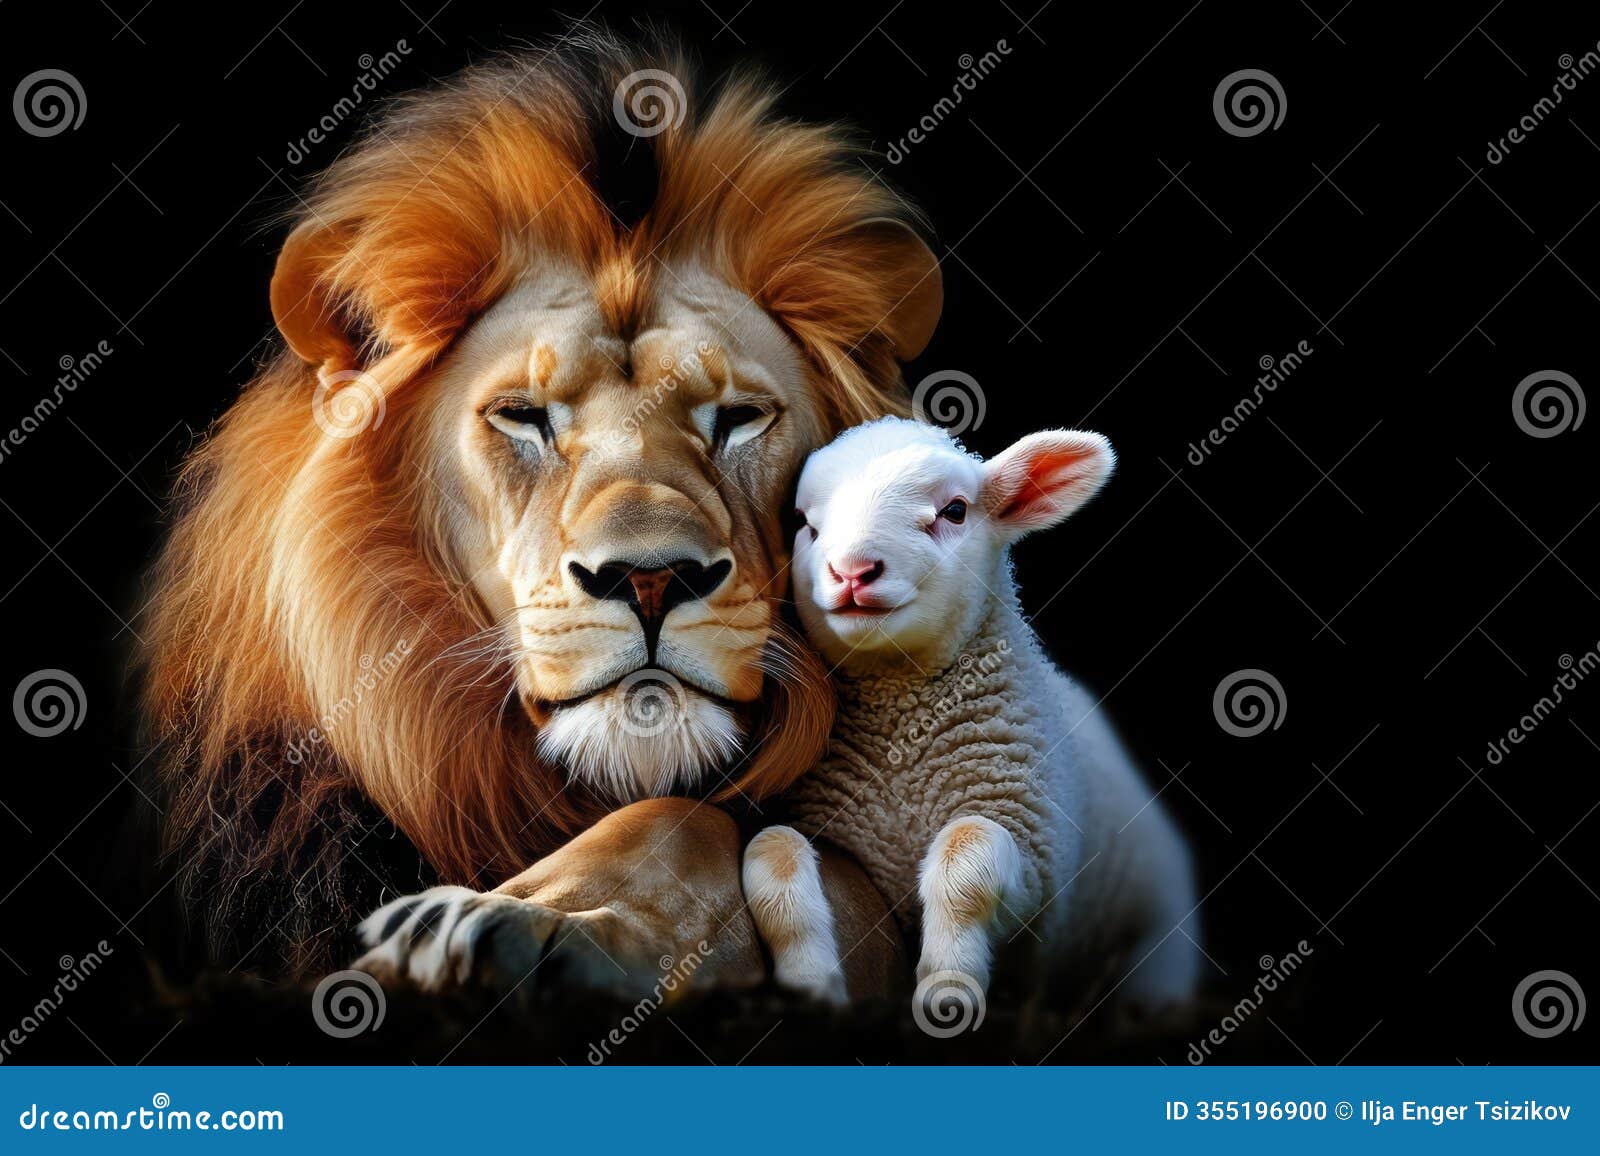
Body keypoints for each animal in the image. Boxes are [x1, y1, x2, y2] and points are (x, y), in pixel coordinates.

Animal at [742, 418, 1201, 1017]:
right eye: (803, 524)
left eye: (955, 511)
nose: (852, 572)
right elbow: (772, 852)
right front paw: (811, 986)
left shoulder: (1038, 877)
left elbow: (967, 853)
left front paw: (948, 987)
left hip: (1161, 939)